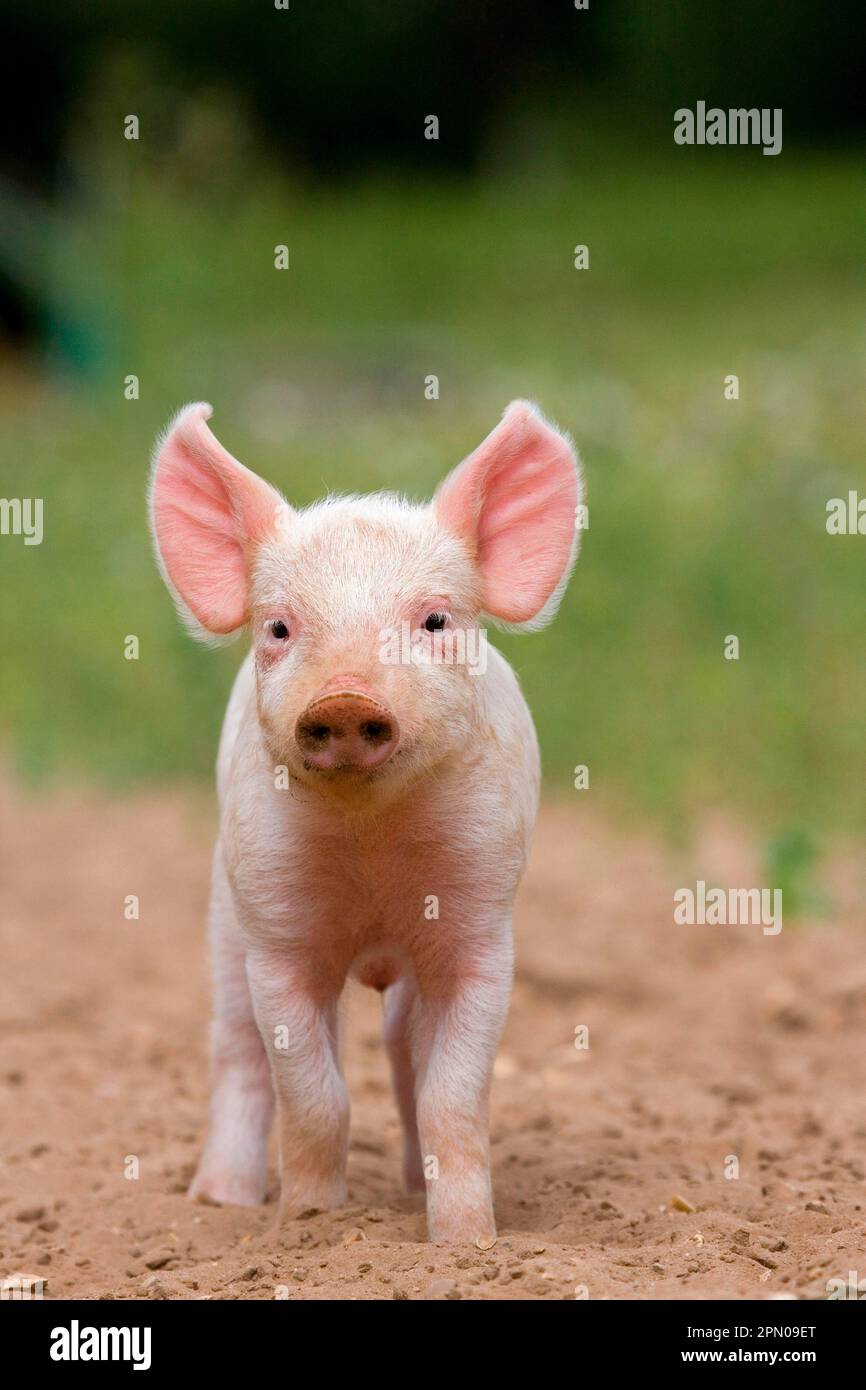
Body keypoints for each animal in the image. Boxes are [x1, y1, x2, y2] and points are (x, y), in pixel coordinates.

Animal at [149, 399, 582, 1244]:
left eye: (434, 620)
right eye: (279, 628)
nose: (345, 698)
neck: (371, 838)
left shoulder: (481, 929)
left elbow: (452, 1097)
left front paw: (468, 1243)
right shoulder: (275, 933)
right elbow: (314, 1096)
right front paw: (312, 1226)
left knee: (400, 1054)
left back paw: (413, 1193)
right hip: (223, 909)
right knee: (236, 1047)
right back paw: (221, 1199)